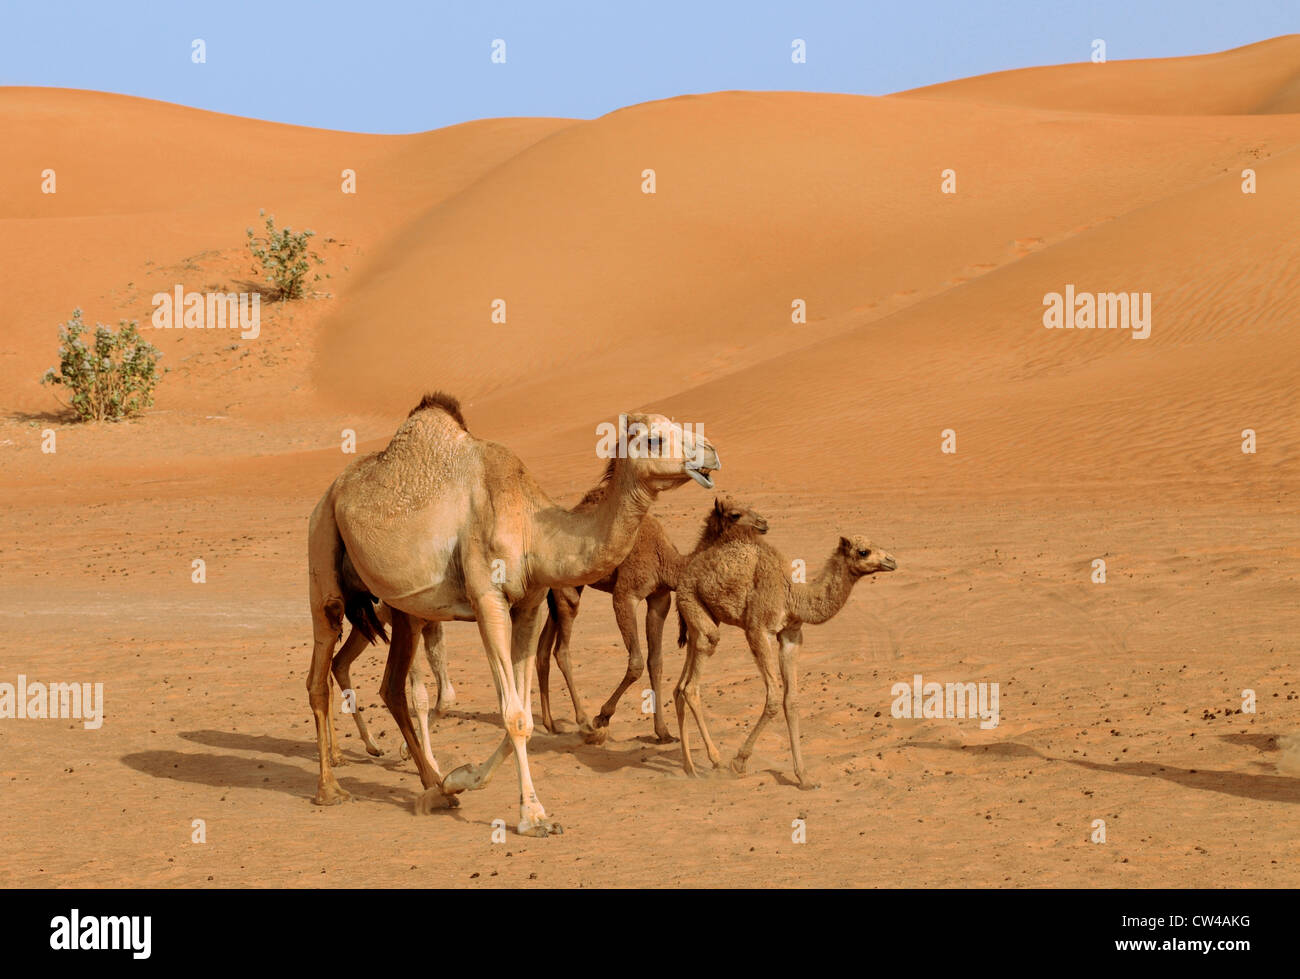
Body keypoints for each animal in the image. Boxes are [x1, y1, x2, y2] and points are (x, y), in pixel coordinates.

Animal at [306, 393, 719, 836]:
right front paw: (534, 817)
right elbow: (515, 715)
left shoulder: (529, 604)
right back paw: (330, 788)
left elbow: (523, 715)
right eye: (656, 439)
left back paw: (434, 787)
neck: (532, 528)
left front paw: (459, 779)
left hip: (404, 609)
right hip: (323, 542)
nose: (711, 453)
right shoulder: (488, 599)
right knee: (322, 665)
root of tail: (331, 491)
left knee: (392, 687)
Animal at [535, 497, 769, 744]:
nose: (763, 523)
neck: (666, 561)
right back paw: (584, 721)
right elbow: (636, 662)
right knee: (561, 650)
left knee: (543, 648)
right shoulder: (626, 594)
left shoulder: (659, 598)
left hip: (564, 584)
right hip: (567, 586)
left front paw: (664, 732)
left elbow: (655, 662)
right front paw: (602, 716)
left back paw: (551, 725)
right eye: (735, 514)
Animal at [674, 518, 896, 789]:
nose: (891, 561)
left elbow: (791, 701)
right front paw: (739, 762)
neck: (794, 596)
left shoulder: (791, 635)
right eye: (864, 551)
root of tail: (686, 572)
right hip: (692, 602)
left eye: (876, 544)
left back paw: (690, 769)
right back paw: (716, 761)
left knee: (680, 685)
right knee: (692, 684)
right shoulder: (758, 630)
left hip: (700, 616)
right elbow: (772, 699)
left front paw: (805, 777)